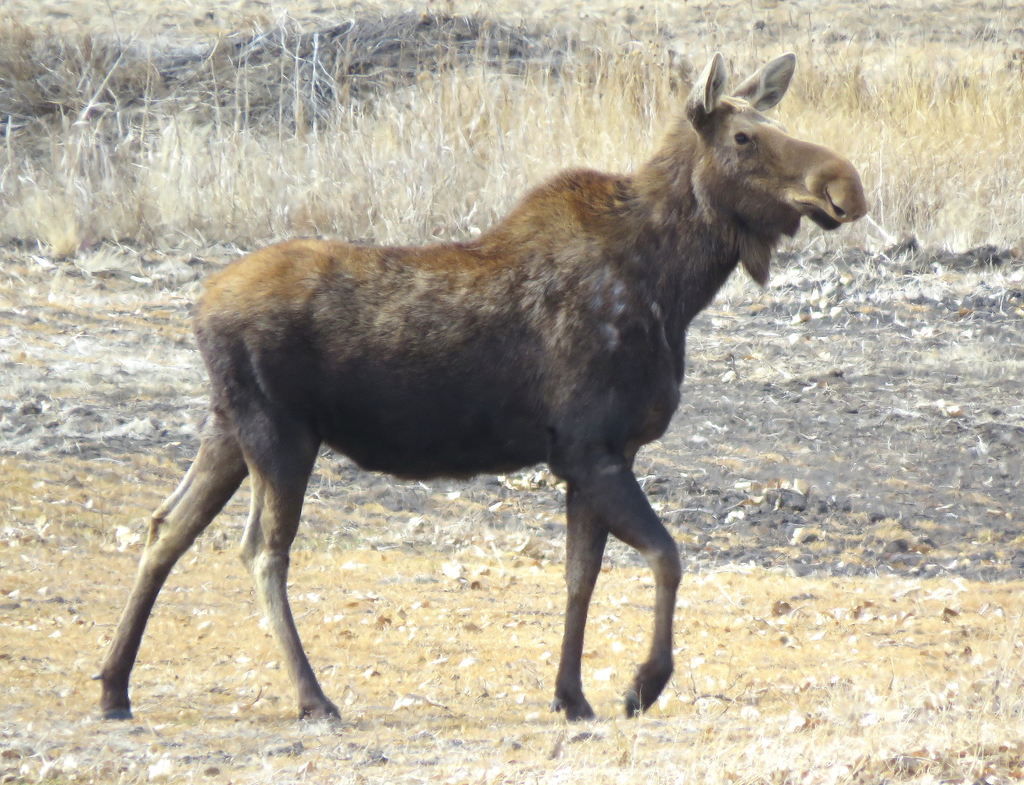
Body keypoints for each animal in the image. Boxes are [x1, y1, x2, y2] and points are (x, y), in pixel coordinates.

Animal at [96, 52, 866, 723]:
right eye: (744, 136)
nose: (845, 185)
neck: (674, 289)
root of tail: (199, 306)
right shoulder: (589, 447)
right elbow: (666, 555)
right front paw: (642, 684)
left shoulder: (600, 455)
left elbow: (581, 576)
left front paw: (571, 696)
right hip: (280, 434)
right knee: (262, 550)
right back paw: (313, 698)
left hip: (228, 427)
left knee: (166, 527)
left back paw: (113, 687)